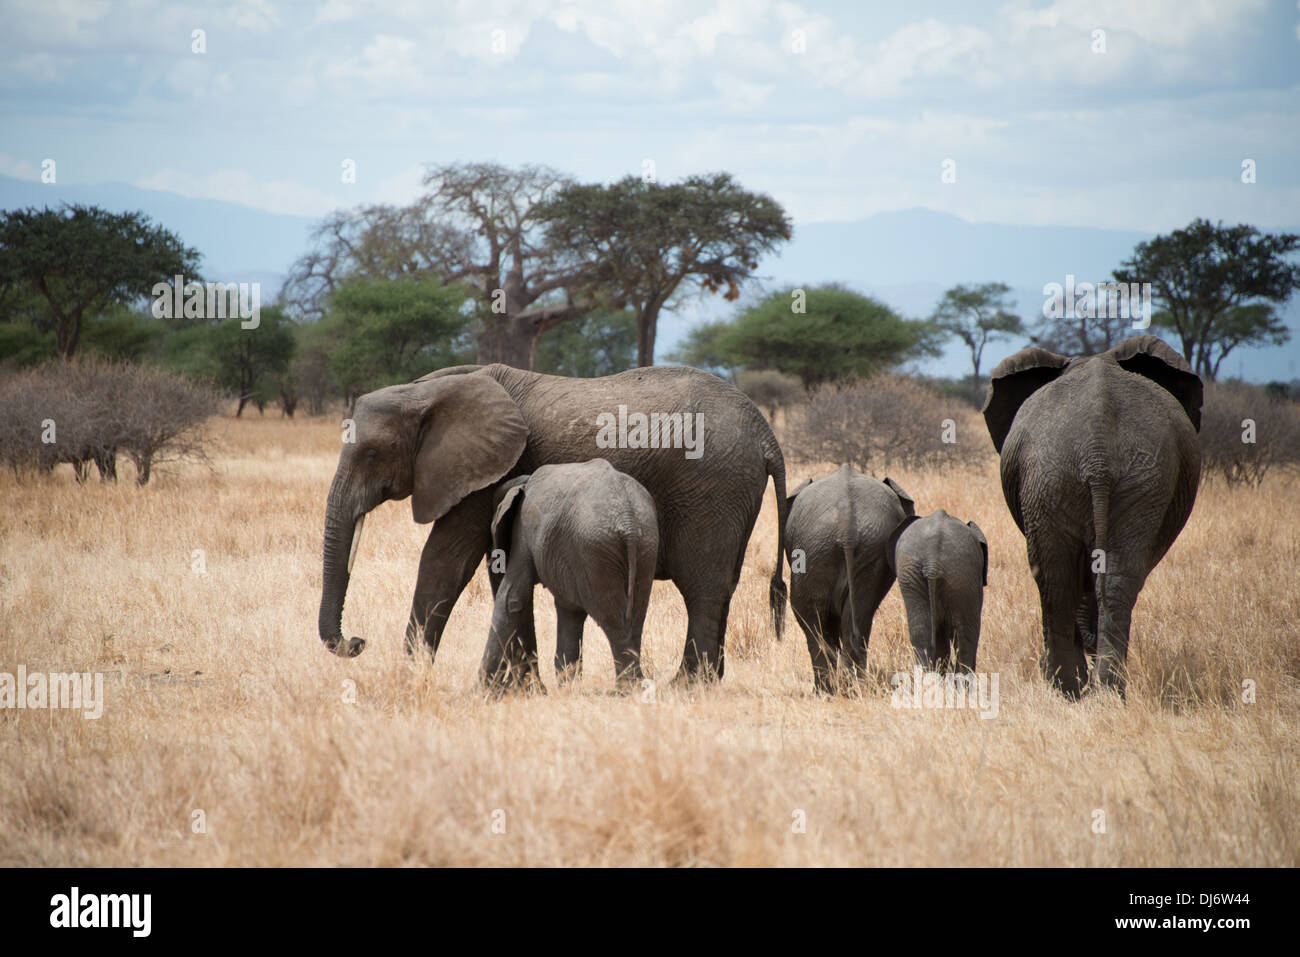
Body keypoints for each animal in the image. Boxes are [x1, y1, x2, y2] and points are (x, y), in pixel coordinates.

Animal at [486, 459, 658, 692]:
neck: (522, 482)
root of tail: (627, 519)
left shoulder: (523, 529)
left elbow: (512, 598)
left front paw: (480, 692)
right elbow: (569, 610)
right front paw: (567, 686)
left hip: (595, 549)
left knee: (612, 618)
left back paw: (626, 690)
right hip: (645, 543)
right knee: (637, 615)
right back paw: (635, 687)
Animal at [783, 464, 915, 693]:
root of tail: (847, 522)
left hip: (820, 546)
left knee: (809, 614)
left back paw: (827, 691)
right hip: (848, 546)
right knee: (858, 616)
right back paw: (852, 688)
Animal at [982, 335, 1202, 697]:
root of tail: (1097, 451)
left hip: (1103, 479)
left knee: (1073, 579)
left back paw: (1083, 689)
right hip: (1075, 478)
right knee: (1080, 579)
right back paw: (1085, 690)